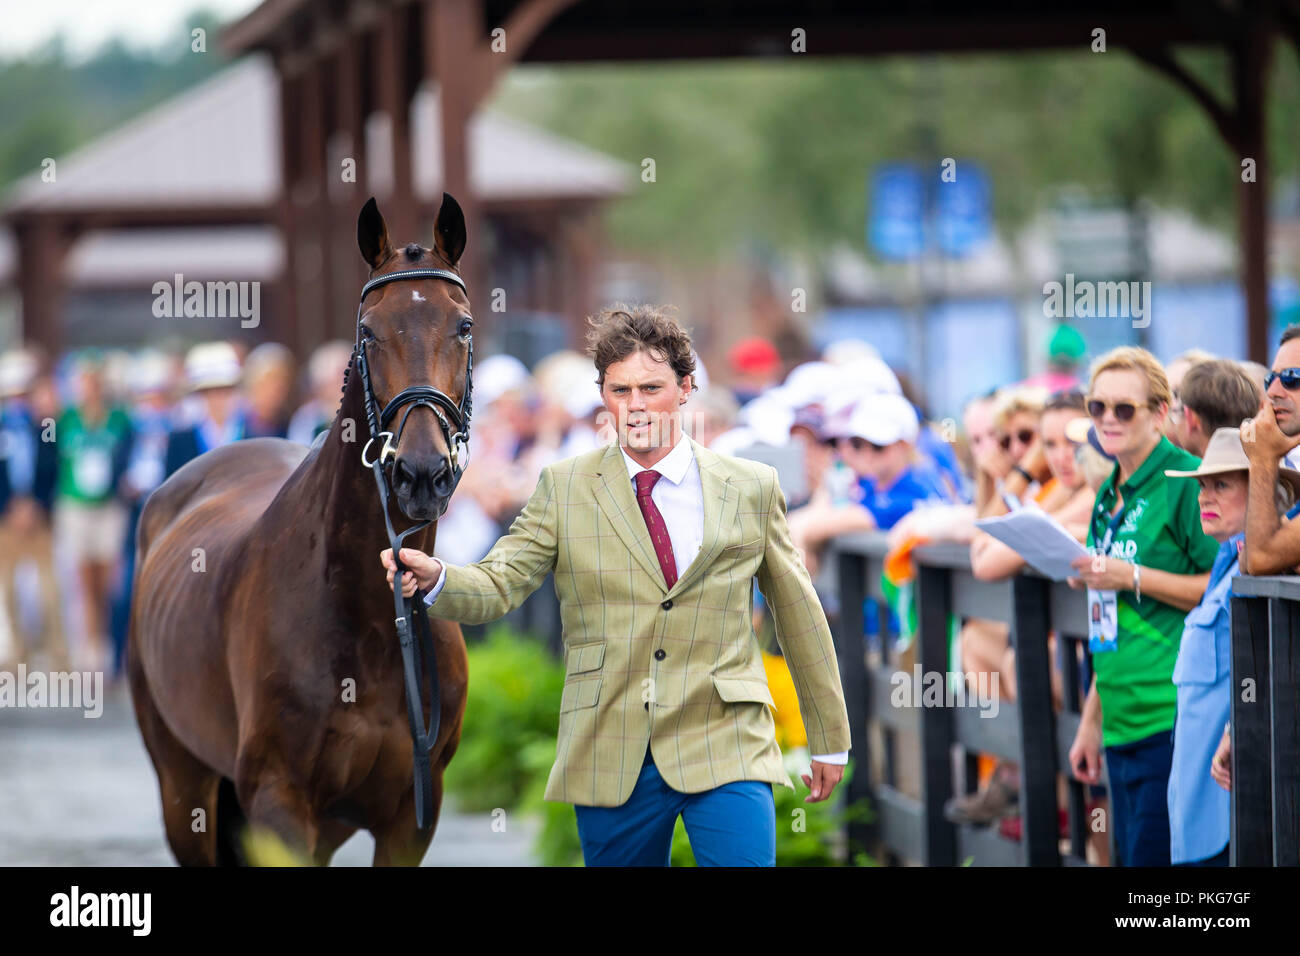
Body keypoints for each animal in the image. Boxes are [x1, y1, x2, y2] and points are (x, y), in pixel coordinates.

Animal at [127, 195, 472, 866]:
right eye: (368, 332)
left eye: (464, 326)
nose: (421, 473)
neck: (372, 624)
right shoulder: (281, 805)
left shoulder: (412, 814)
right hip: (183, 787)